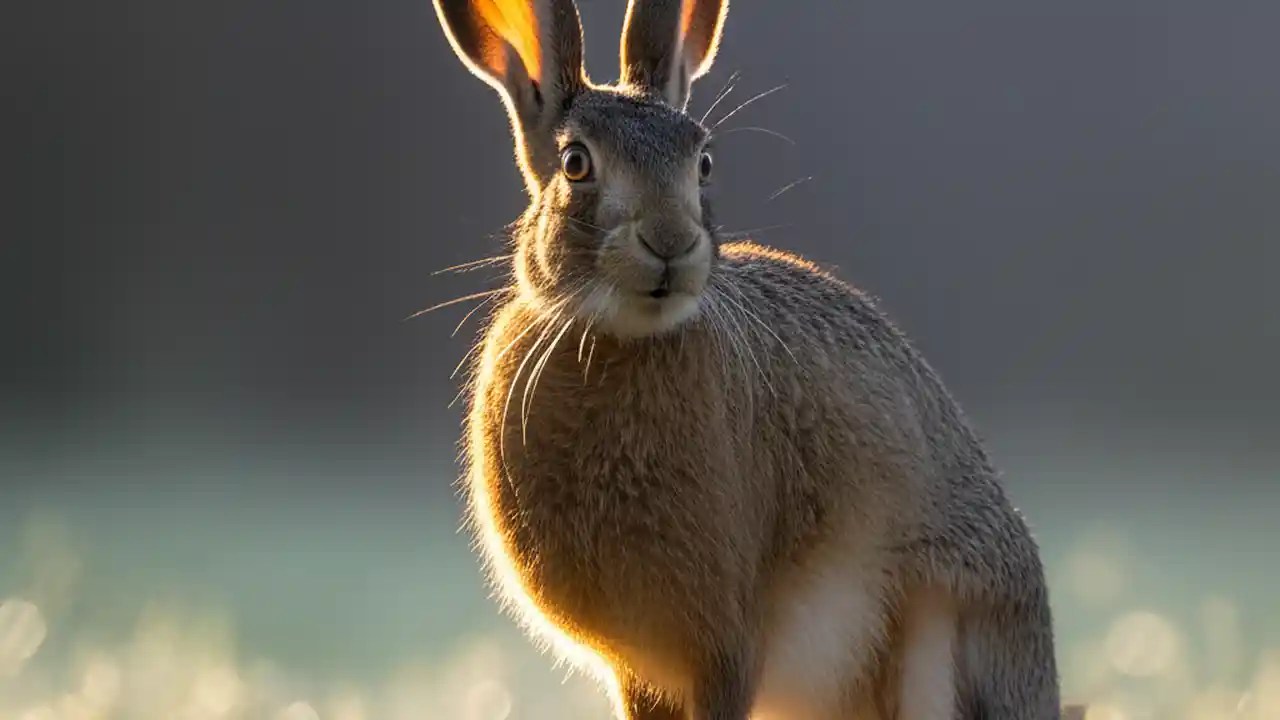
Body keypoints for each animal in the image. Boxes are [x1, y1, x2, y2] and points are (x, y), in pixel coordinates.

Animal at [431, 0, 1061, 717]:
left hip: (935, 636)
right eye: (575, 163)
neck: (621, 336)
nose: (671, 242)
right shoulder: (640, 672)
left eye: (702, 164)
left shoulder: (730, 642)